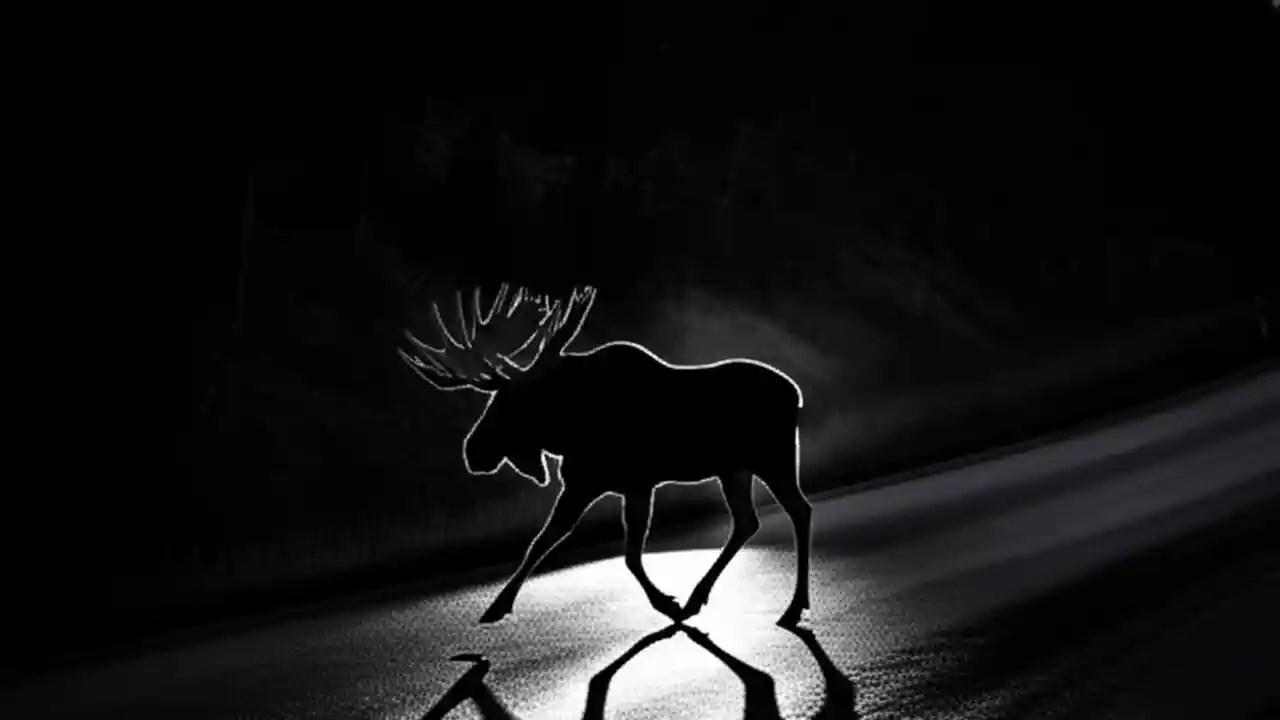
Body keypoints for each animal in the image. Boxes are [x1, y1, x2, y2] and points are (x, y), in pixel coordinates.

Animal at [398, 283, 812, 627]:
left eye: (508, 402)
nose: (472, 451)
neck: (567, 428)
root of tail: (796, 394)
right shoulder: (596, 485)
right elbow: (551, 541)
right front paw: (498, 605)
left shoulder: (625, 483)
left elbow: (616, 553)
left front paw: (665, 603)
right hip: (734, 469)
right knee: (746, 521)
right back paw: (699, 596)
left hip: (773, 458)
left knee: (799, 510)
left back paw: (793, 606)